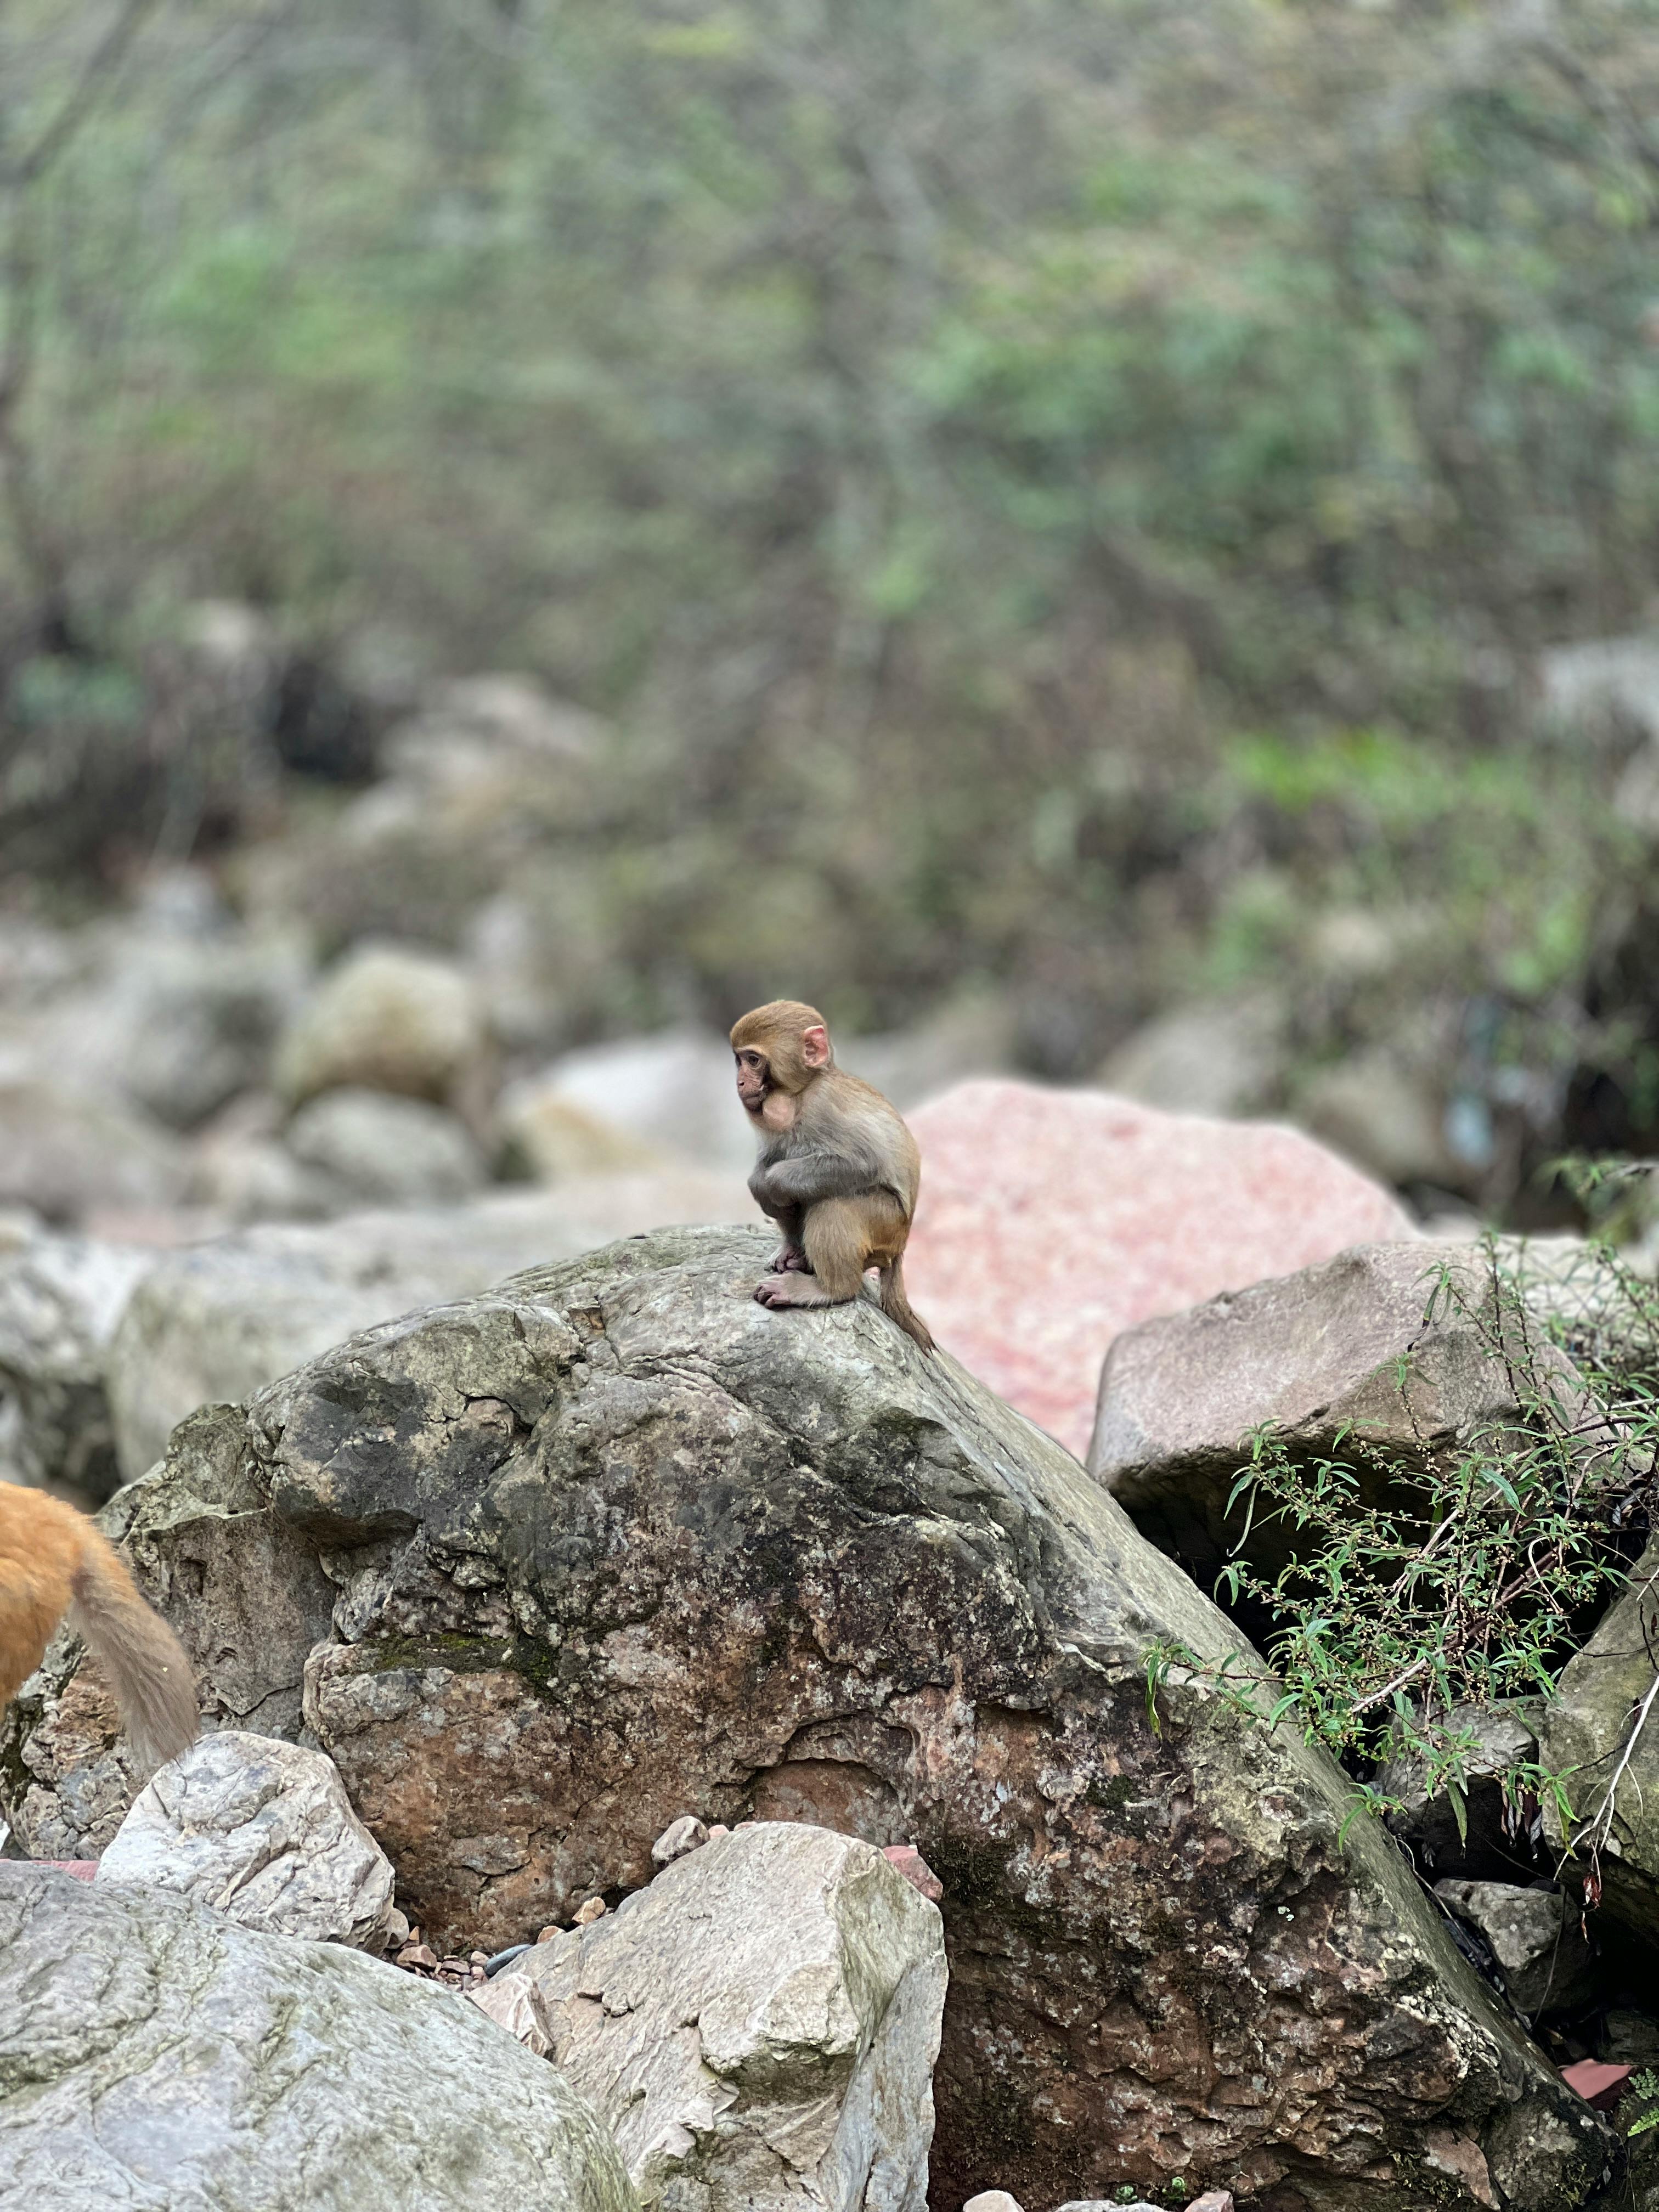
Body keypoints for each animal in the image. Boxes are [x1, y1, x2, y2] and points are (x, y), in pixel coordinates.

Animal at [730, 999, 934, 1352]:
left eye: (753, 1061)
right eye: (739, 1060)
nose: (740, 1083)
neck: (799, 1094)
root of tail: (900, 1248)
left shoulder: (824, 1106)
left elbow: (862, 1164)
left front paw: (769, 1184)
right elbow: (770, 1161)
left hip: (887, 1224)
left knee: (835, 1202)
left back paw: (828, 1289)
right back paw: (796, 1253)